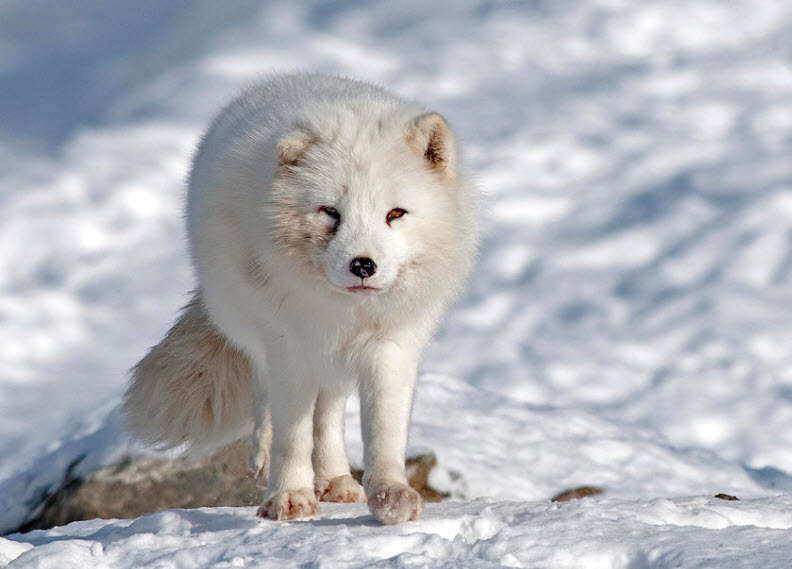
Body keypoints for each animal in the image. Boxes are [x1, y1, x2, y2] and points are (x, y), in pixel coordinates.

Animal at [123, 73, 479, 524]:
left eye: (395, 214)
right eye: (330, 212)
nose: (363, 265)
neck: (344, 313)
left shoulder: (391, 345)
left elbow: (383, 430)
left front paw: (391, 496)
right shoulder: (289, 346)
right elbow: (291, 435)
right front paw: (289, 497)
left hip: (332, 363)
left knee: (328, 414)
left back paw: (337, 480)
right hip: (255, 333)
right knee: (265, 395)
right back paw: (264, 458)